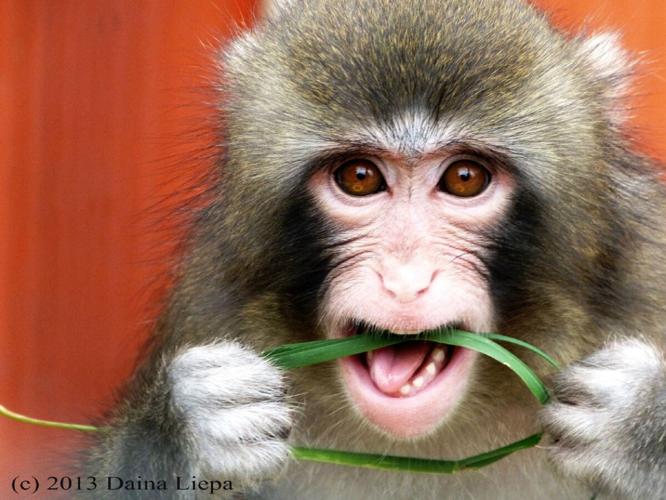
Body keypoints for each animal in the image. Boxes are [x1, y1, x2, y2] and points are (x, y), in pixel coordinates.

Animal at [80, 0, 666, 498]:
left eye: (465, 179)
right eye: (359, 178)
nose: (406, 280)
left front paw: (640, 425)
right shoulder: (207, 308)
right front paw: (181, 433)